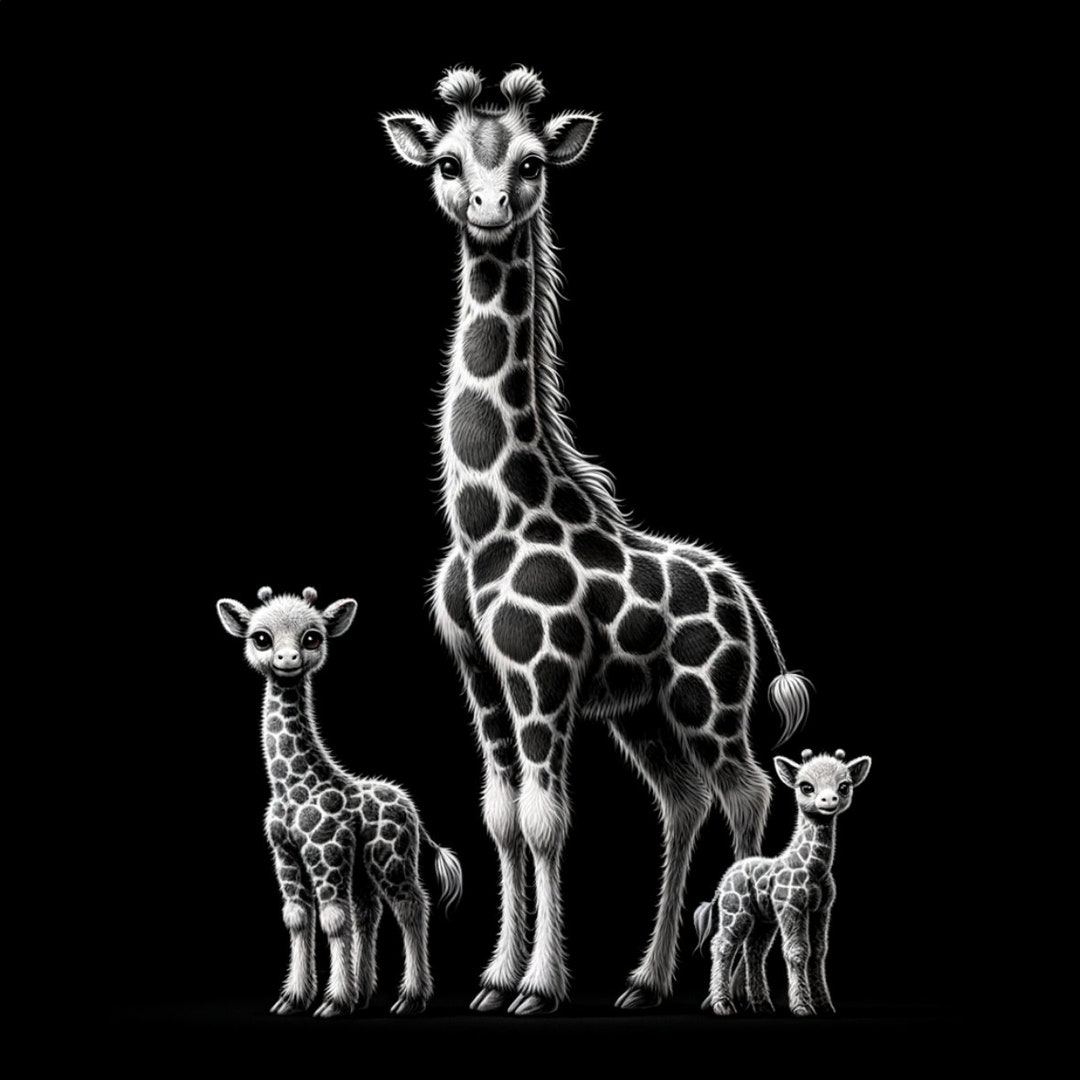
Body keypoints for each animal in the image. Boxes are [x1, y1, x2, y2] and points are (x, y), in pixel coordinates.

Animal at [216, 586, 463, 1017]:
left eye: (312, 637)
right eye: (260, 638)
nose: (287, 660)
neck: (289, 785)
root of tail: (412, 810)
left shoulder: (324, 849)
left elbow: (333, 918)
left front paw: (333, 1002)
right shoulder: (284, 853)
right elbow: (297, 917)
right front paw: (293, 999)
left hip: (391, 855)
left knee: (410, 905)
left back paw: (409, 998)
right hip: (364, 863)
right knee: (369, 910)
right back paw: (365, 995)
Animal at [381, 66, 813, 1015]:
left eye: (534, 162)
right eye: (446, 161)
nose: (490, 206)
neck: (487, 516)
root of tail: (744, 595)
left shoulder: (542, 671)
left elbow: (547, 823)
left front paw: (540, 987)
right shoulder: (481, 674)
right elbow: (500, 817)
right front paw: (494, 977)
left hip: (711, 701)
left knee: (747, 790)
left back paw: (740, 985)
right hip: (646, 714)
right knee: (683, 801)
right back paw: (646, 981)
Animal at [694, 749, 871, 1016]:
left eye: (844, 786)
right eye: (806, 786)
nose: (828, 800)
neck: (815, 868)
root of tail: (722, 882)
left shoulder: (822, 909)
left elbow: (819, 952)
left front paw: (824, 1005)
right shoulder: (791, 906)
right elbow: (797, 952)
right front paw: (802, 1006)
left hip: (763, 920)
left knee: (754, 951)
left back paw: (762, 1005)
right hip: (736, 911)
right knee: (722, 945)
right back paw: (722, 1004)